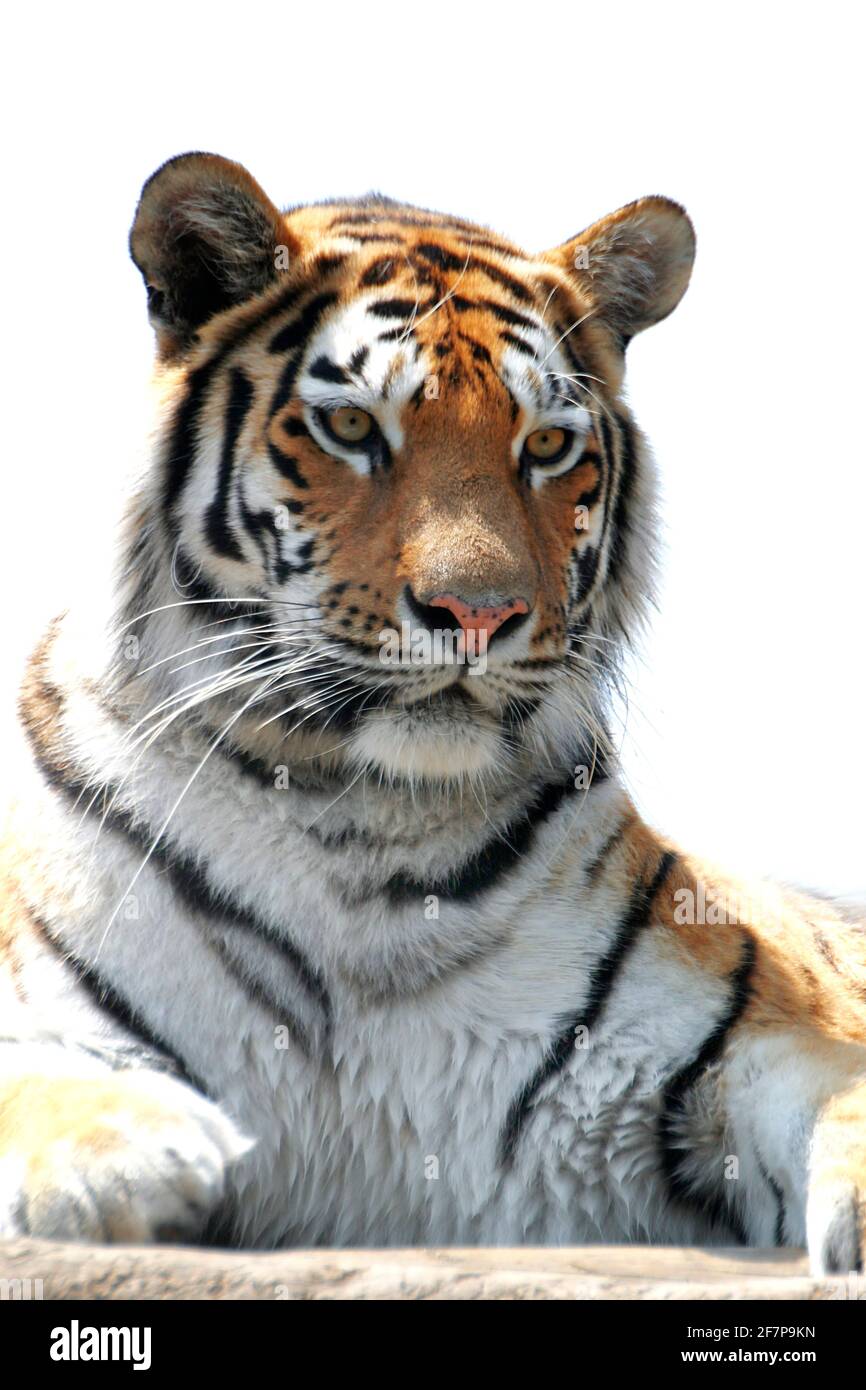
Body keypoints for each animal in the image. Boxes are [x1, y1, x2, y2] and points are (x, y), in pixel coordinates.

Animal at [1, 150, 865, 1275]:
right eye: (351, 427)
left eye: (547, 445)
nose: (479, 613)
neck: (357, 823)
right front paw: (129, 1154)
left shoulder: (752, 1028)